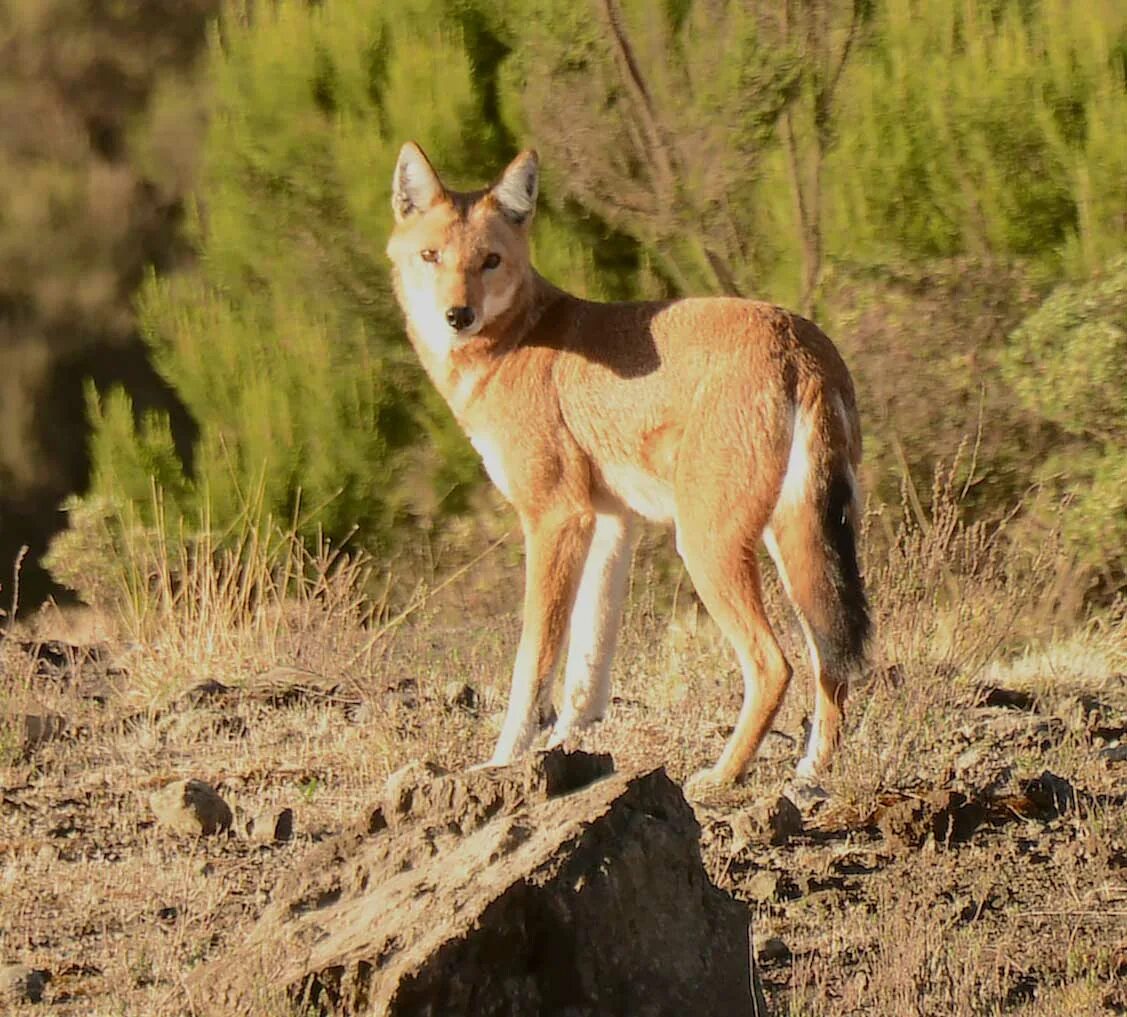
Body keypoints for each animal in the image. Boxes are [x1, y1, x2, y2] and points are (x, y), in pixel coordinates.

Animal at [386, 142, 869, 789]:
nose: (457, 316)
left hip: (707, 547)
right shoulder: (612, 524)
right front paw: (567, 746)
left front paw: (504, 759)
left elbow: (533, 663)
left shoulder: (555, 519)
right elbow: (588, 666)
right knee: (830, 661)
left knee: (775, 666)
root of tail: (798, 342)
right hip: (795, 545)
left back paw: (721, 777)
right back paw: (809, 773)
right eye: (431, 256)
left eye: (489, 261)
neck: (515, 342)